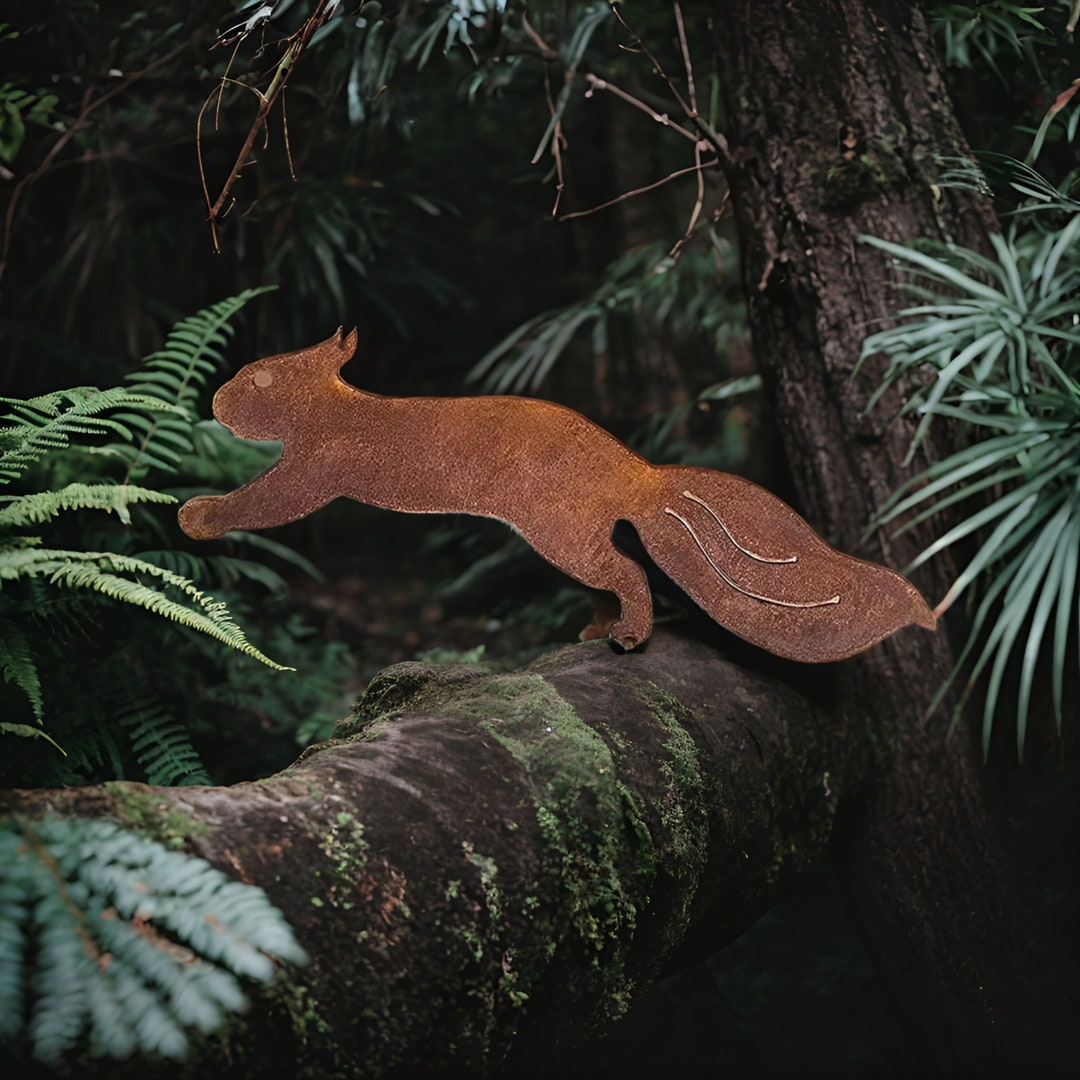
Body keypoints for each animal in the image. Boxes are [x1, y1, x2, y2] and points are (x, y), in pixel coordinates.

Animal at [178, 328, 935, 662]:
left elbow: (259, 501)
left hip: (561, 534)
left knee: (630, 575)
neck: (335, 407)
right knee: (612, 580)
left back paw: (628, 636)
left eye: (258, 377)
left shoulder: (312, 473)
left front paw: (198, 515)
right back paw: (598, 630)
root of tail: (640, 473)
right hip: (569, 539)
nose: (215, 399)